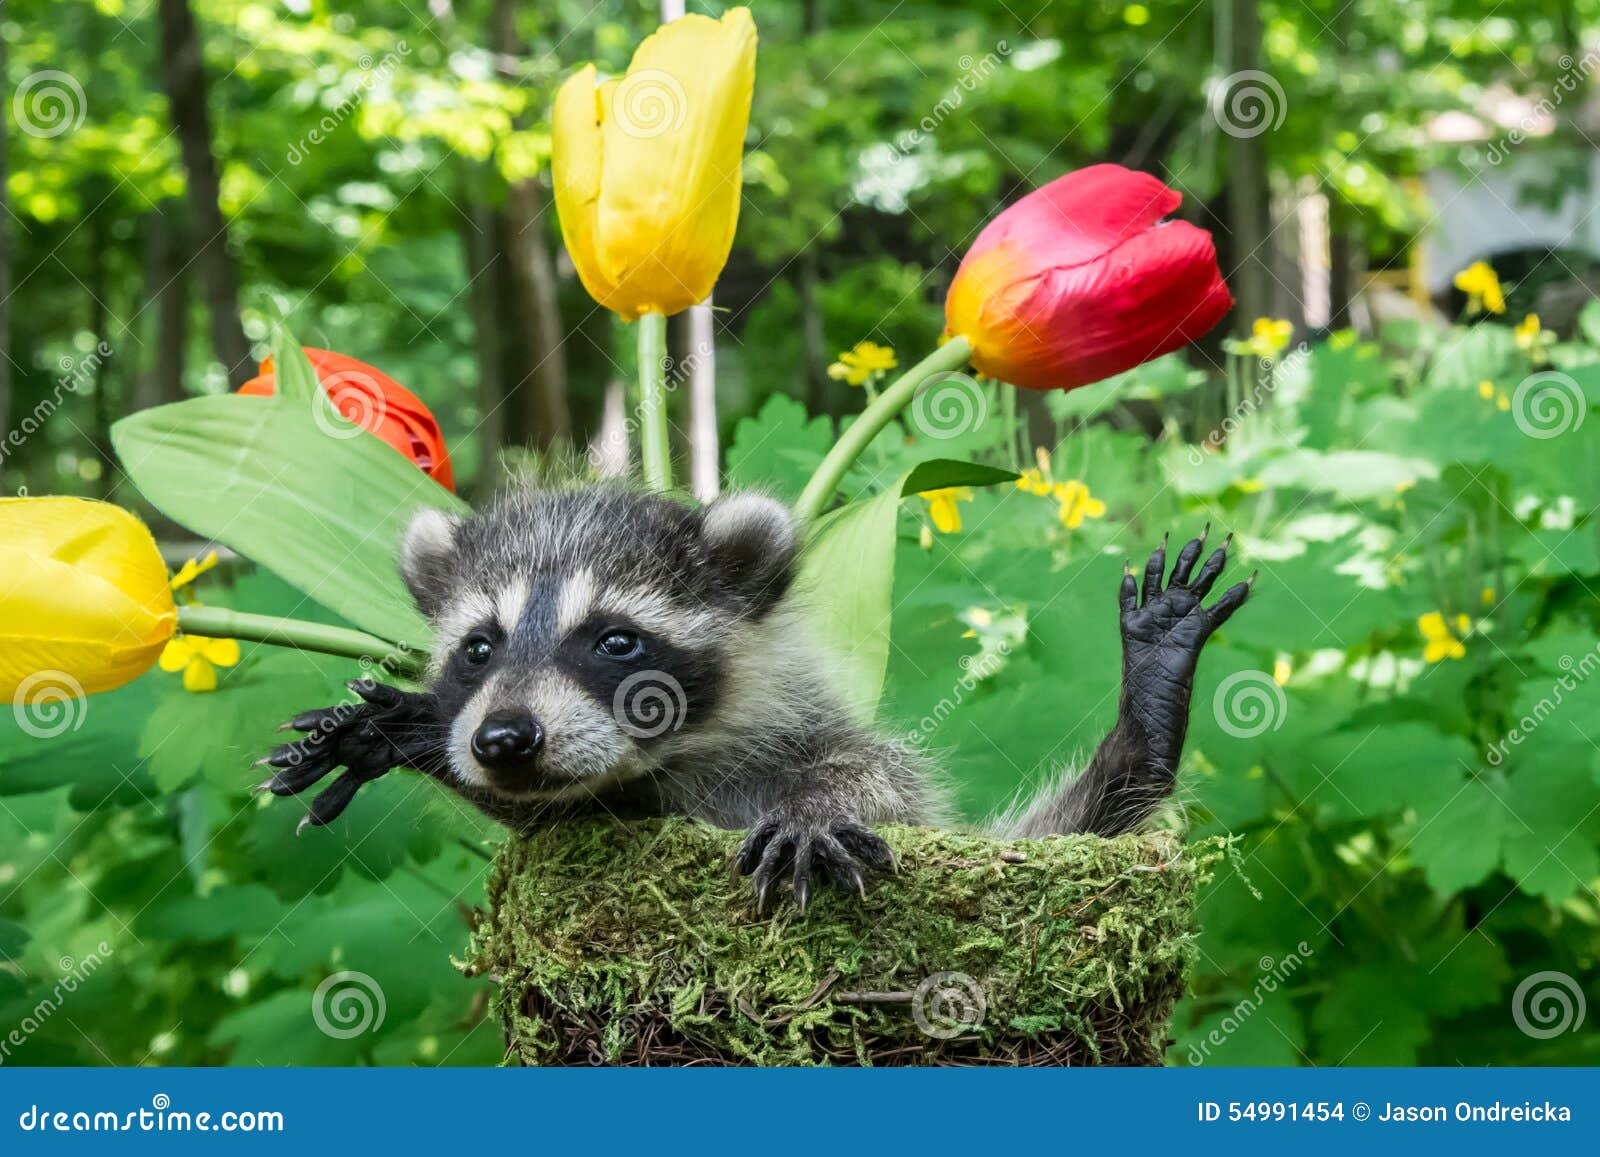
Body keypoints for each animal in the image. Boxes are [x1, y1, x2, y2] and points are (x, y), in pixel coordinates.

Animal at [258, 485, 1250, 909]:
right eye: (478, 648)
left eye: (614, 640)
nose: (503, 739)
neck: (681, 760)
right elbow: (559, 818)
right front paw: (410, 728)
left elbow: (880, 783)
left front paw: (818, 806)